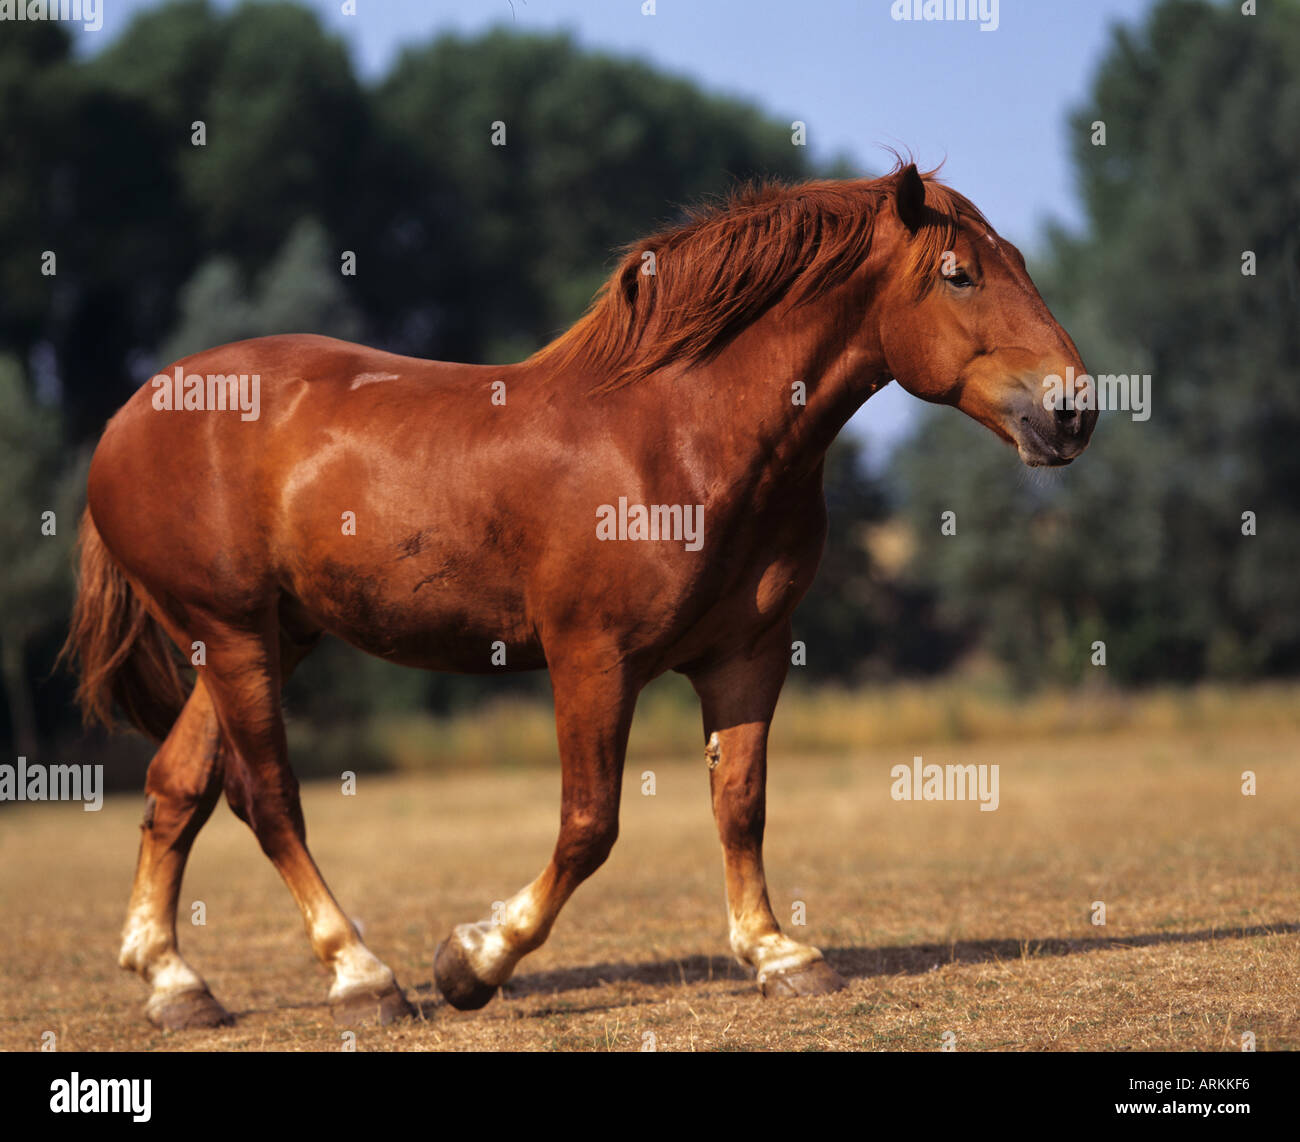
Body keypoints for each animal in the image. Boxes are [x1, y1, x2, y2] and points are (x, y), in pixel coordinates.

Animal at [61, 161, 1095, 1029]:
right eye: (960, 275)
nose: (1075, 408)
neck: (678, 438)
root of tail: (128, 417)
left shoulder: (746, 657)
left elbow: (741, 805)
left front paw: (778, 954)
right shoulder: (594, 659)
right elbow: (591, 826)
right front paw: (472, 960)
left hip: (264, 638)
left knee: (176, 788)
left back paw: (175, 985)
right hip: (231, 633)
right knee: (267, 797)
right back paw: (363, 976)